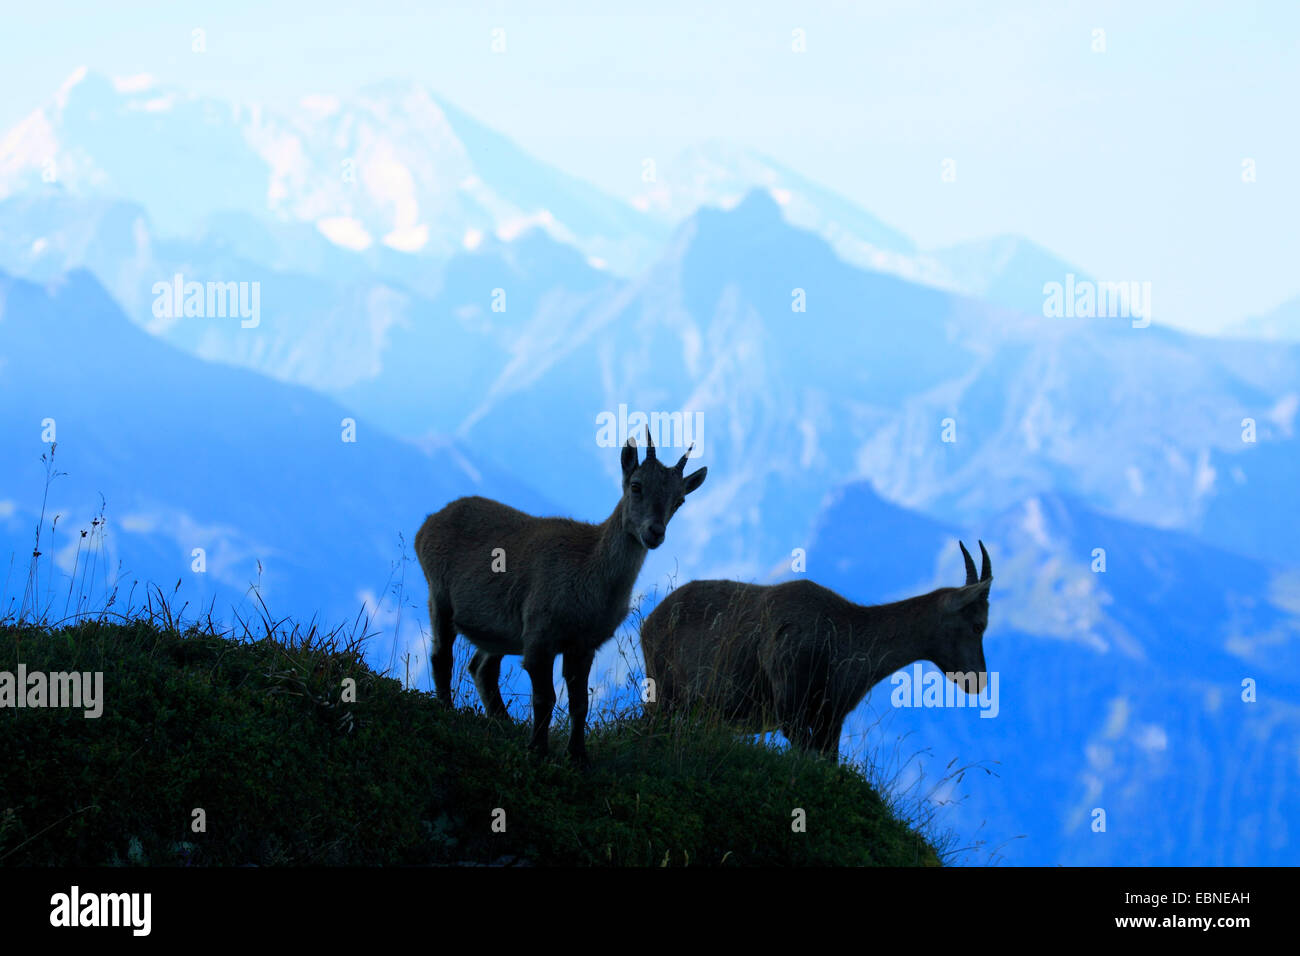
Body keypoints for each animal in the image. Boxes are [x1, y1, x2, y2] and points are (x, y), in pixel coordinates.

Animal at [415, 428, 707, 763]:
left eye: (679, 500)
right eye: (636, 485)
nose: (654, 532)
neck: (590, 572)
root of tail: (428, 523)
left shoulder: (582, 645)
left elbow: (580, 703)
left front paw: (578, 756)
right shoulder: (540, 637)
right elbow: (545, 697)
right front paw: (537, 750)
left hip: (500, 631)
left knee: (482, 667)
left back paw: (503, 722)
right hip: (440, 596)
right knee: (442, 655)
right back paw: (447, 709)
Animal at [639, 542, 992, 759]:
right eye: (978, 625)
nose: (979, 681)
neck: (843, 637)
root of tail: (650, 621)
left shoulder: (831, 719)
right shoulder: (790, 707)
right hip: (664, 692)